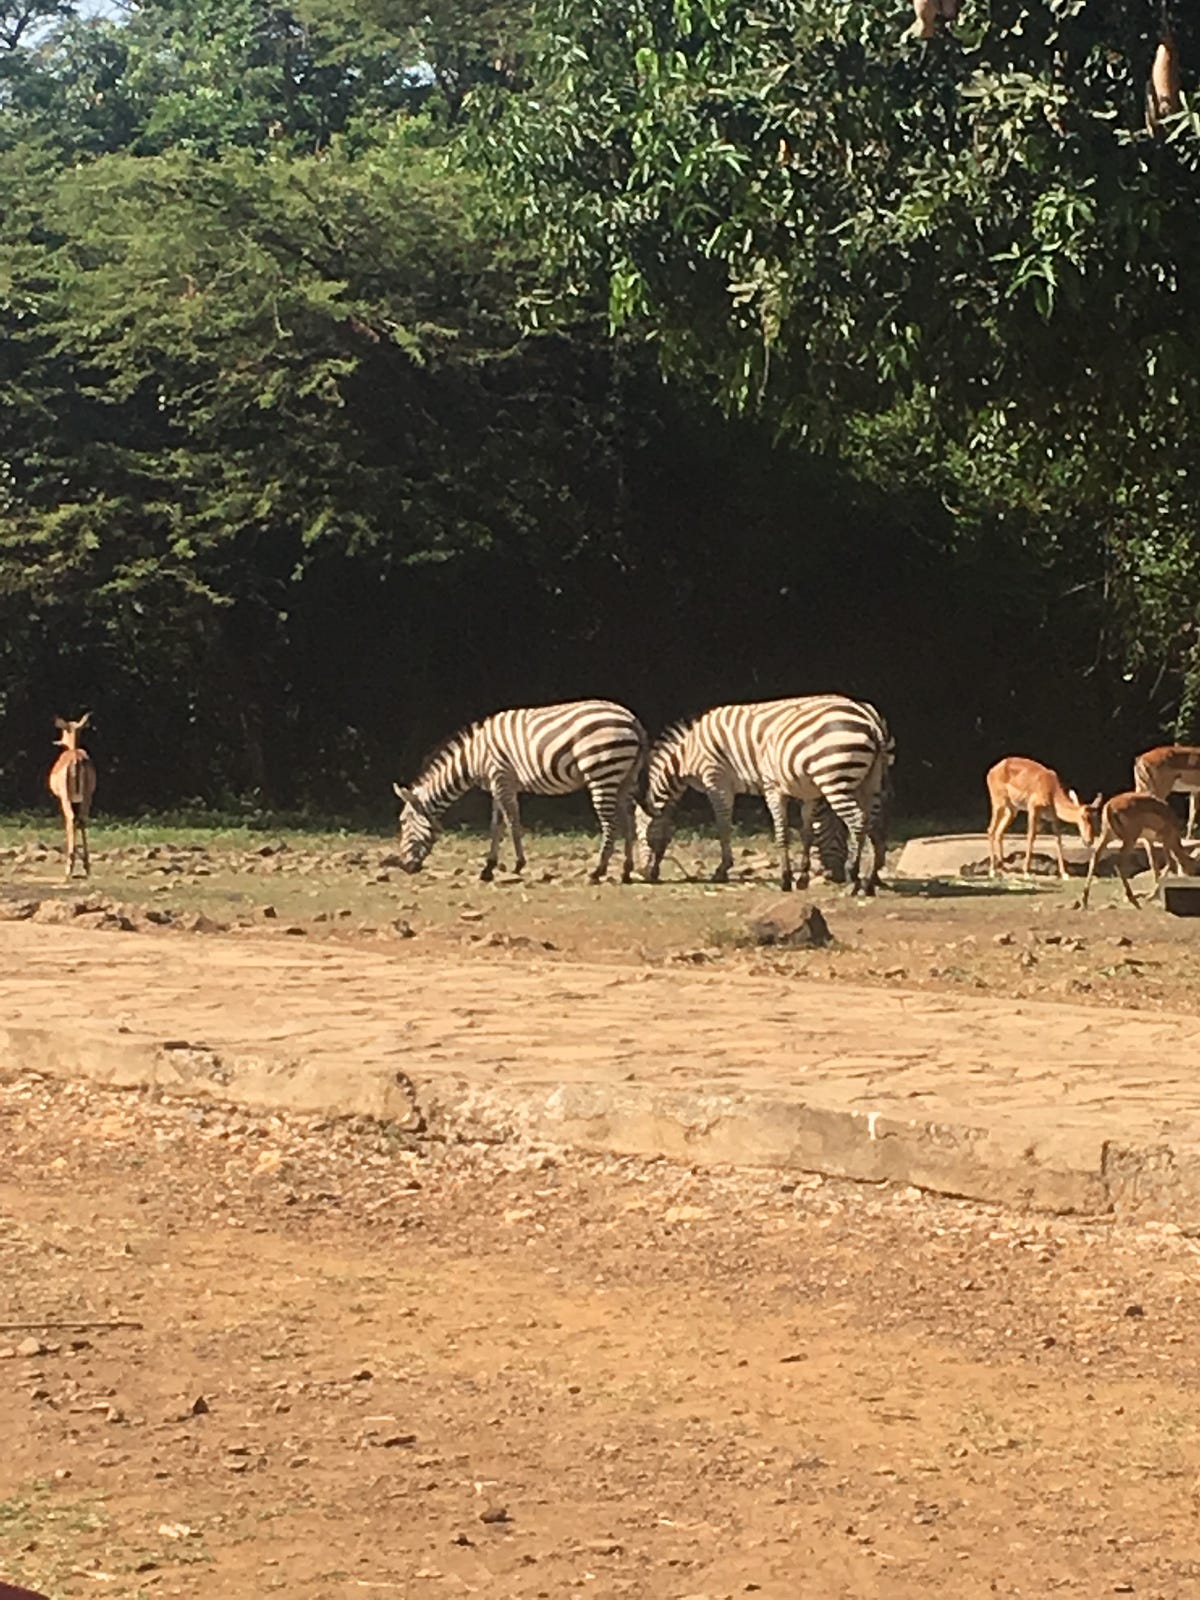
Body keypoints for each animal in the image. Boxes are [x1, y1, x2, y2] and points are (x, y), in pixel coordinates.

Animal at [48, 714, 97, 879]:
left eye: (63, 730)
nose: (58, 741)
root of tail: (76, 759)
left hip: (66, 797)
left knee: (70, 818)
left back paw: (69, 867)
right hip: (87, 797)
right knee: (82, 819)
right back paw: (87, 866)